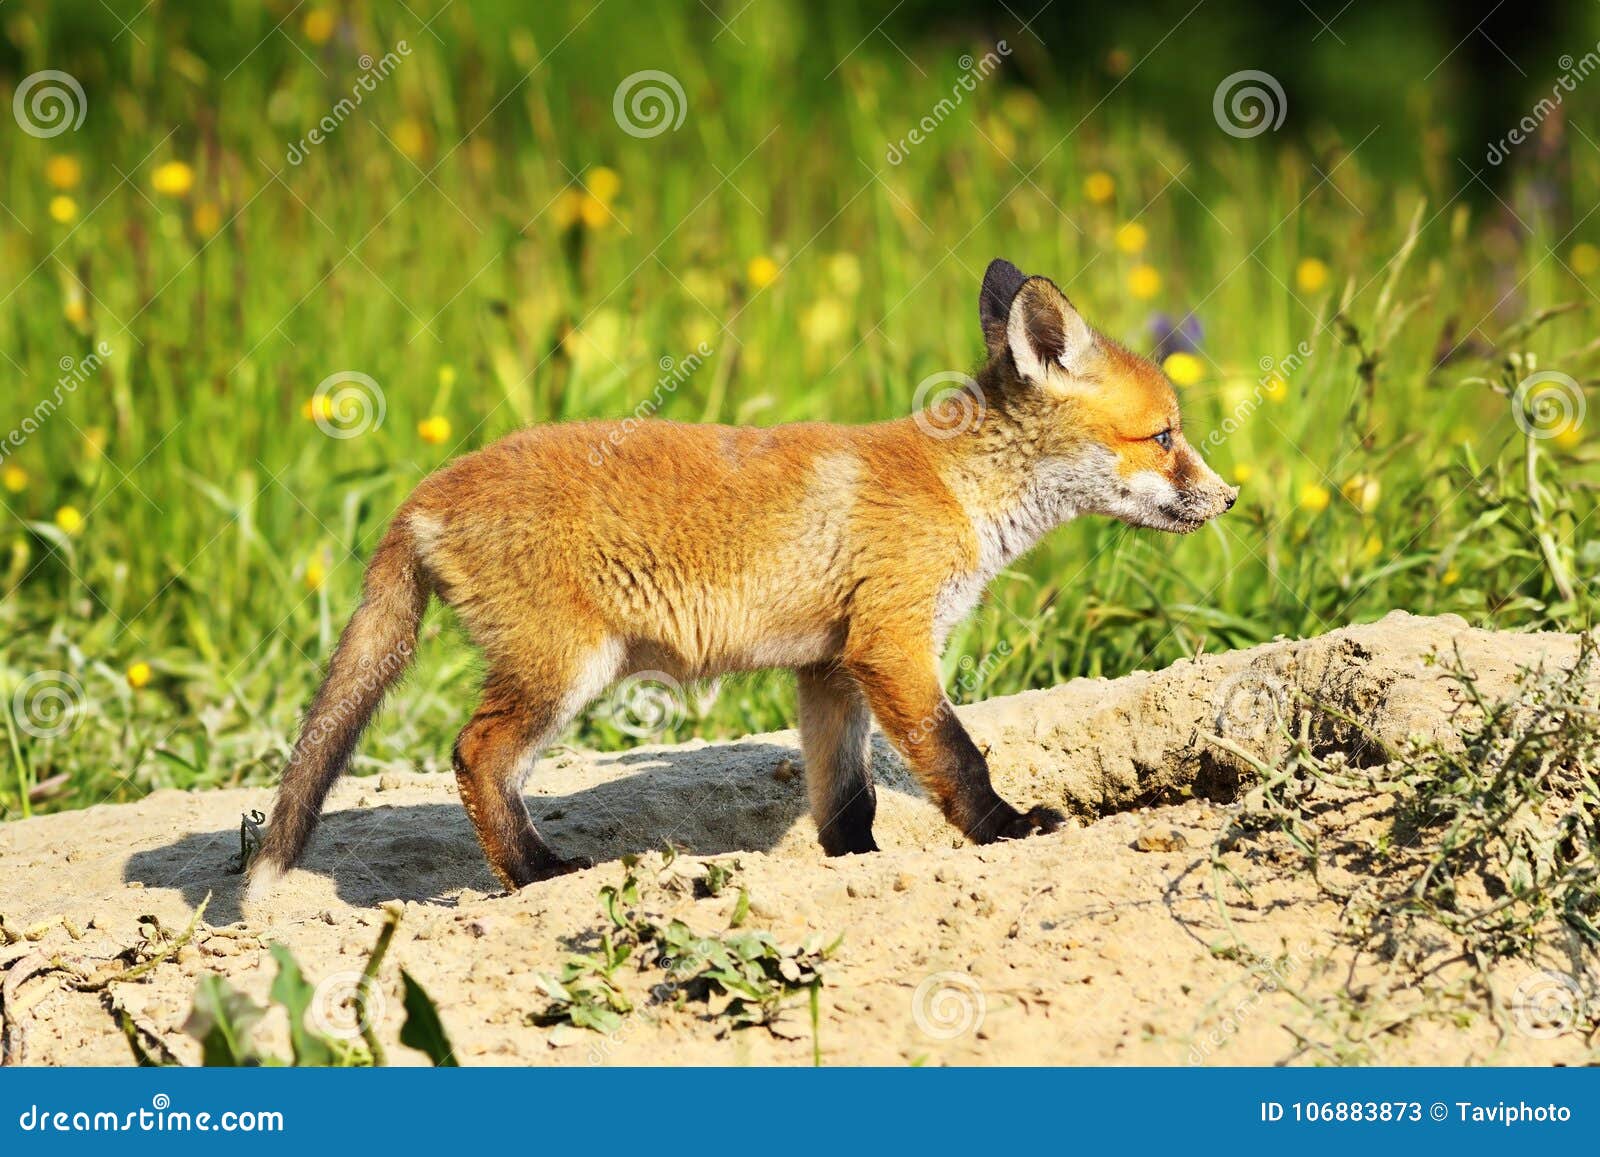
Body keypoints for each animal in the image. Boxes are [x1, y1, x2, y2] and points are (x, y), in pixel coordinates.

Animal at [246, 258, 1237, 901]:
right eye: (1163, 436)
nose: (1229, 495)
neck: (958, 488)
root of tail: (424, 490)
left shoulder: (832, 668)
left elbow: (845, 798)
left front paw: (857, 865)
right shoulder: (894, 643)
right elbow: (958, 755)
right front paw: (1005, 827)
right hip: (566, 670)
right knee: (475, 753)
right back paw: (536, 874)